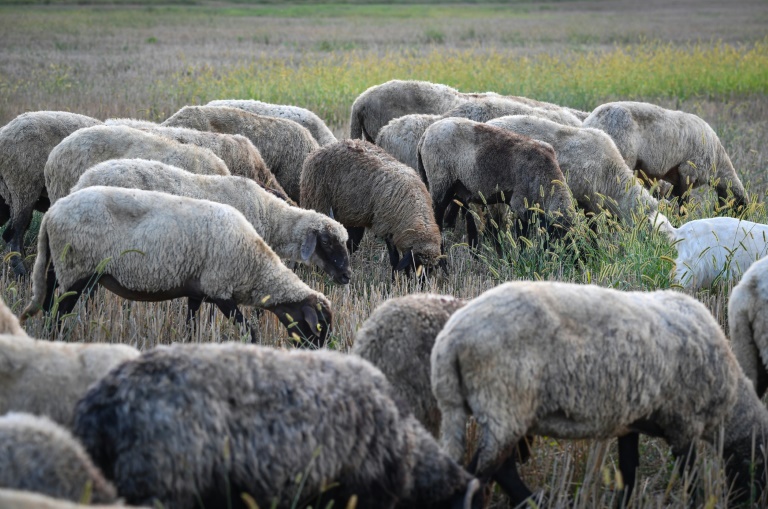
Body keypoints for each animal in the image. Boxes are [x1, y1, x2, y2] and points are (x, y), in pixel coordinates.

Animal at [21, 187, 332, 347]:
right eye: (319, 327)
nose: (316, 353)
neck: (256, 269)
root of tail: (50, 214)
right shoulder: (221, 290)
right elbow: (250, 332)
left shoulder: (197, 292)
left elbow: (191, 327)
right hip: (77, 271)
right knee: (57, 315)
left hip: (58, 265)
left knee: (48, 305)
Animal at [300, 139, 444, 275]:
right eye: (417, 265)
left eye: (431, 269)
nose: (421, 284)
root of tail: (320, 149)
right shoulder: (387, 227)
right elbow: (395, 259)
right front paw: (394, 280)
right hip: (317, 203)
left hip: (350, 215)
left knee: (350, 244)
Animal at [417, 117, 575, 249]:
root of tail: (425, 135)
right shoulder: (520, 204)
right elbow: (522, 238)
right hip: (441, 182)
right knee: (437, 216)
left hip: (458, 187)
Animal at [431, 280, 768, 505]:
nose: (748, 501)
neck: (729, 402)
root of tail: (450, 342)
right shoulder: (683, 423)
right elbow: (691, 478)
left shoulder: (631, 423)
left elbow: (629, 473)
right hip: (505, 404)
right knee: (488, 471)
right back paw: (531, 502)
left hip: (495, 410)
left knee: (486, 471)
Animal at [583, 101, 748, 208]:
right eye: (739, 210)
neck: (718, 163)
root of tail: (592, 121)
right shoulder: (688, 172)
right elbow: (683, 203)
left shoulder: (676, 180)